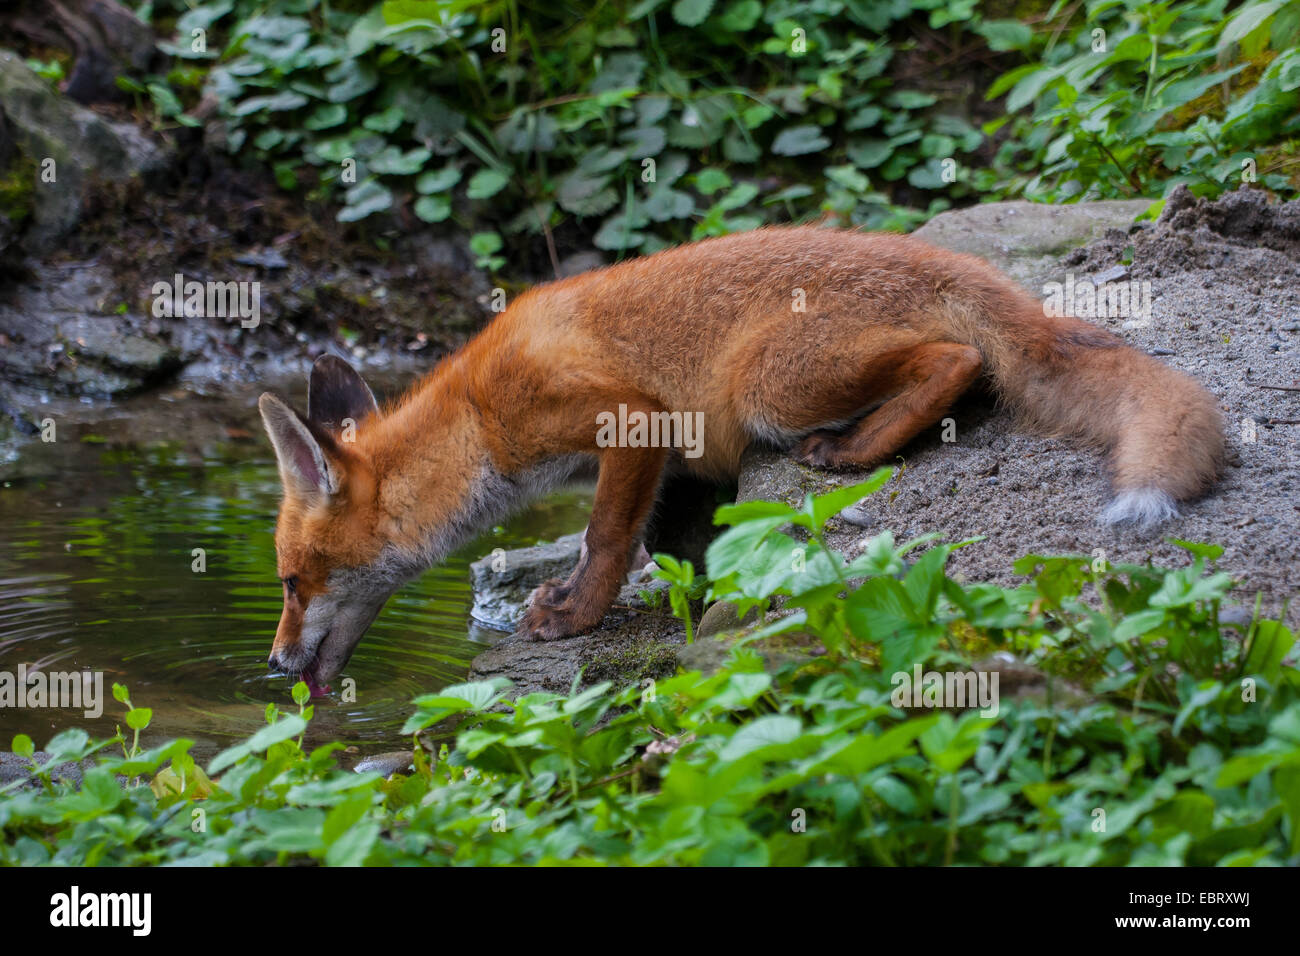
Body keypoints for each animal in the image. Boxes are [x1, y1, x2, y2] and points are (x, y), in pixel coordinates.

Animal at [260, 226, 1224, 694]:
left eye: (291, 583)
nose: (270, 664)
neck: (475, 418)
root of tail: (948, 260)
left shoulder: (630, 420)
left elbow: (605, 539)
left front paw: (574, 618)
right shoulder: (678, 466)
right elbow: (670, 545)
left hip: (770, 384)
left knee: (957, 360)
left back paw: (853, 448)